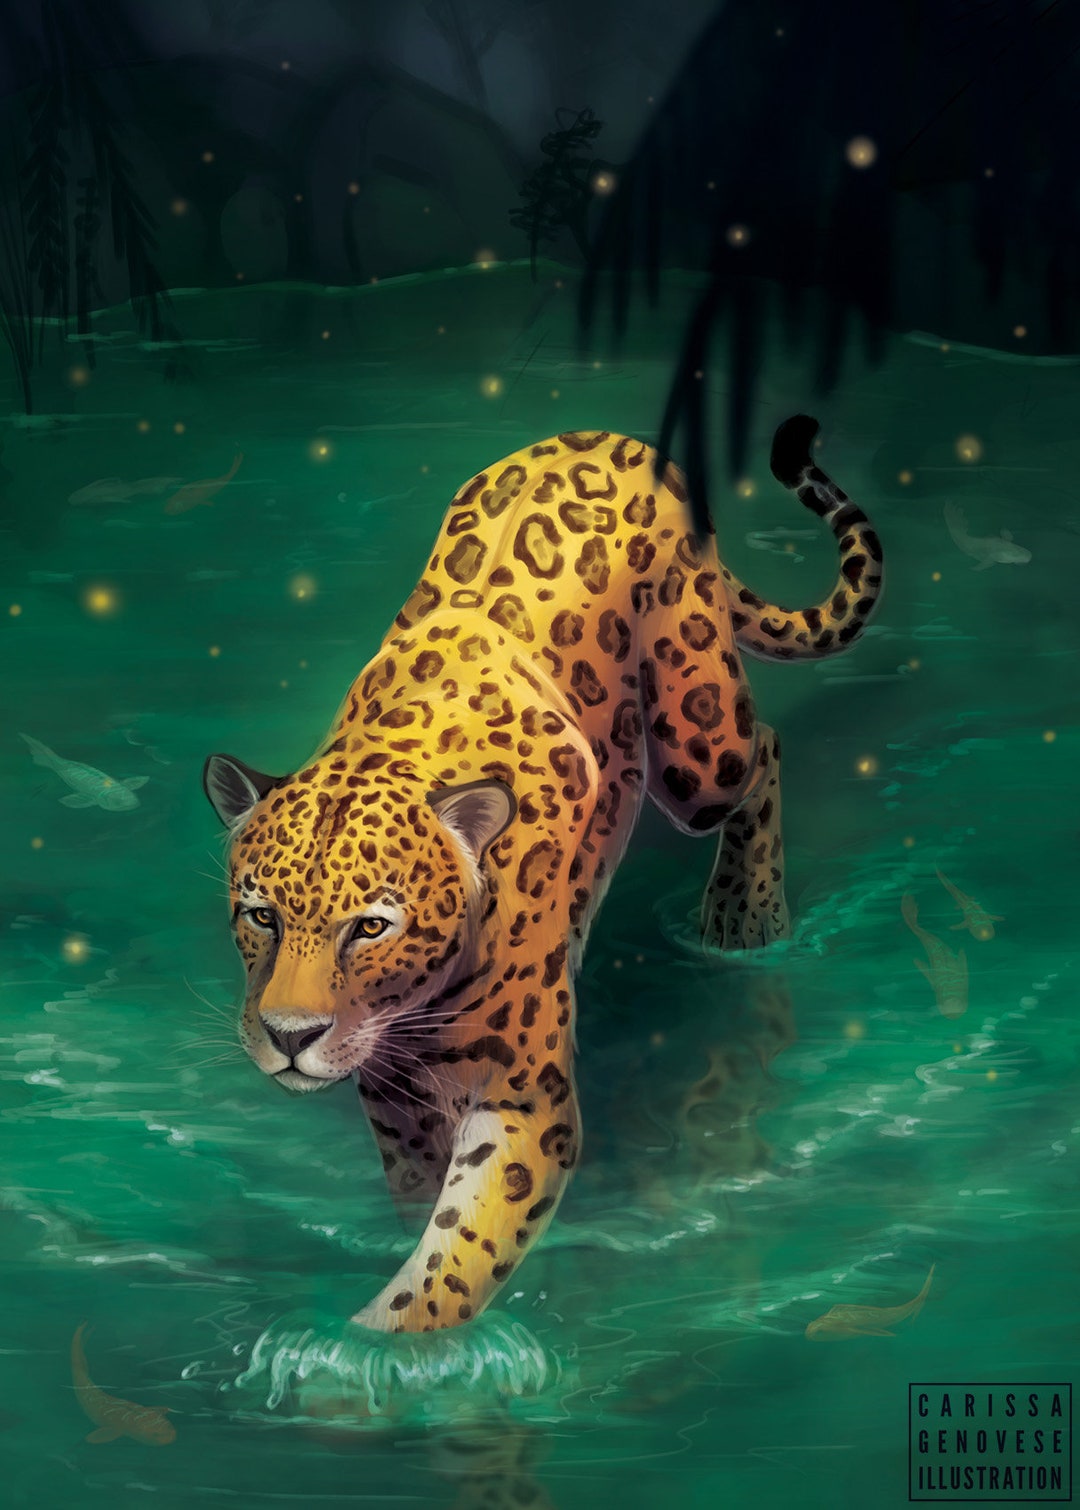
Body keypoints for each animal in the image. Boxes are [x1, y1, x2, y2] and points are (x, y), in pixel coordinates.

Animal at [203, 414, 883, 1334]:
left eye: (371, 927)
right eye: (262, 916)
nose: (288, 1037)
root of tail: (614, 436)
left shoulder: (523, 1101)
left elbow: (454, 1259)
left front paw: (368, 1353)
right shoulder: (395, 1096)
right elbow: (422, 1210)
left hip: (696, 741)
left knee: (762, 750)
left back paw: (745, 920)